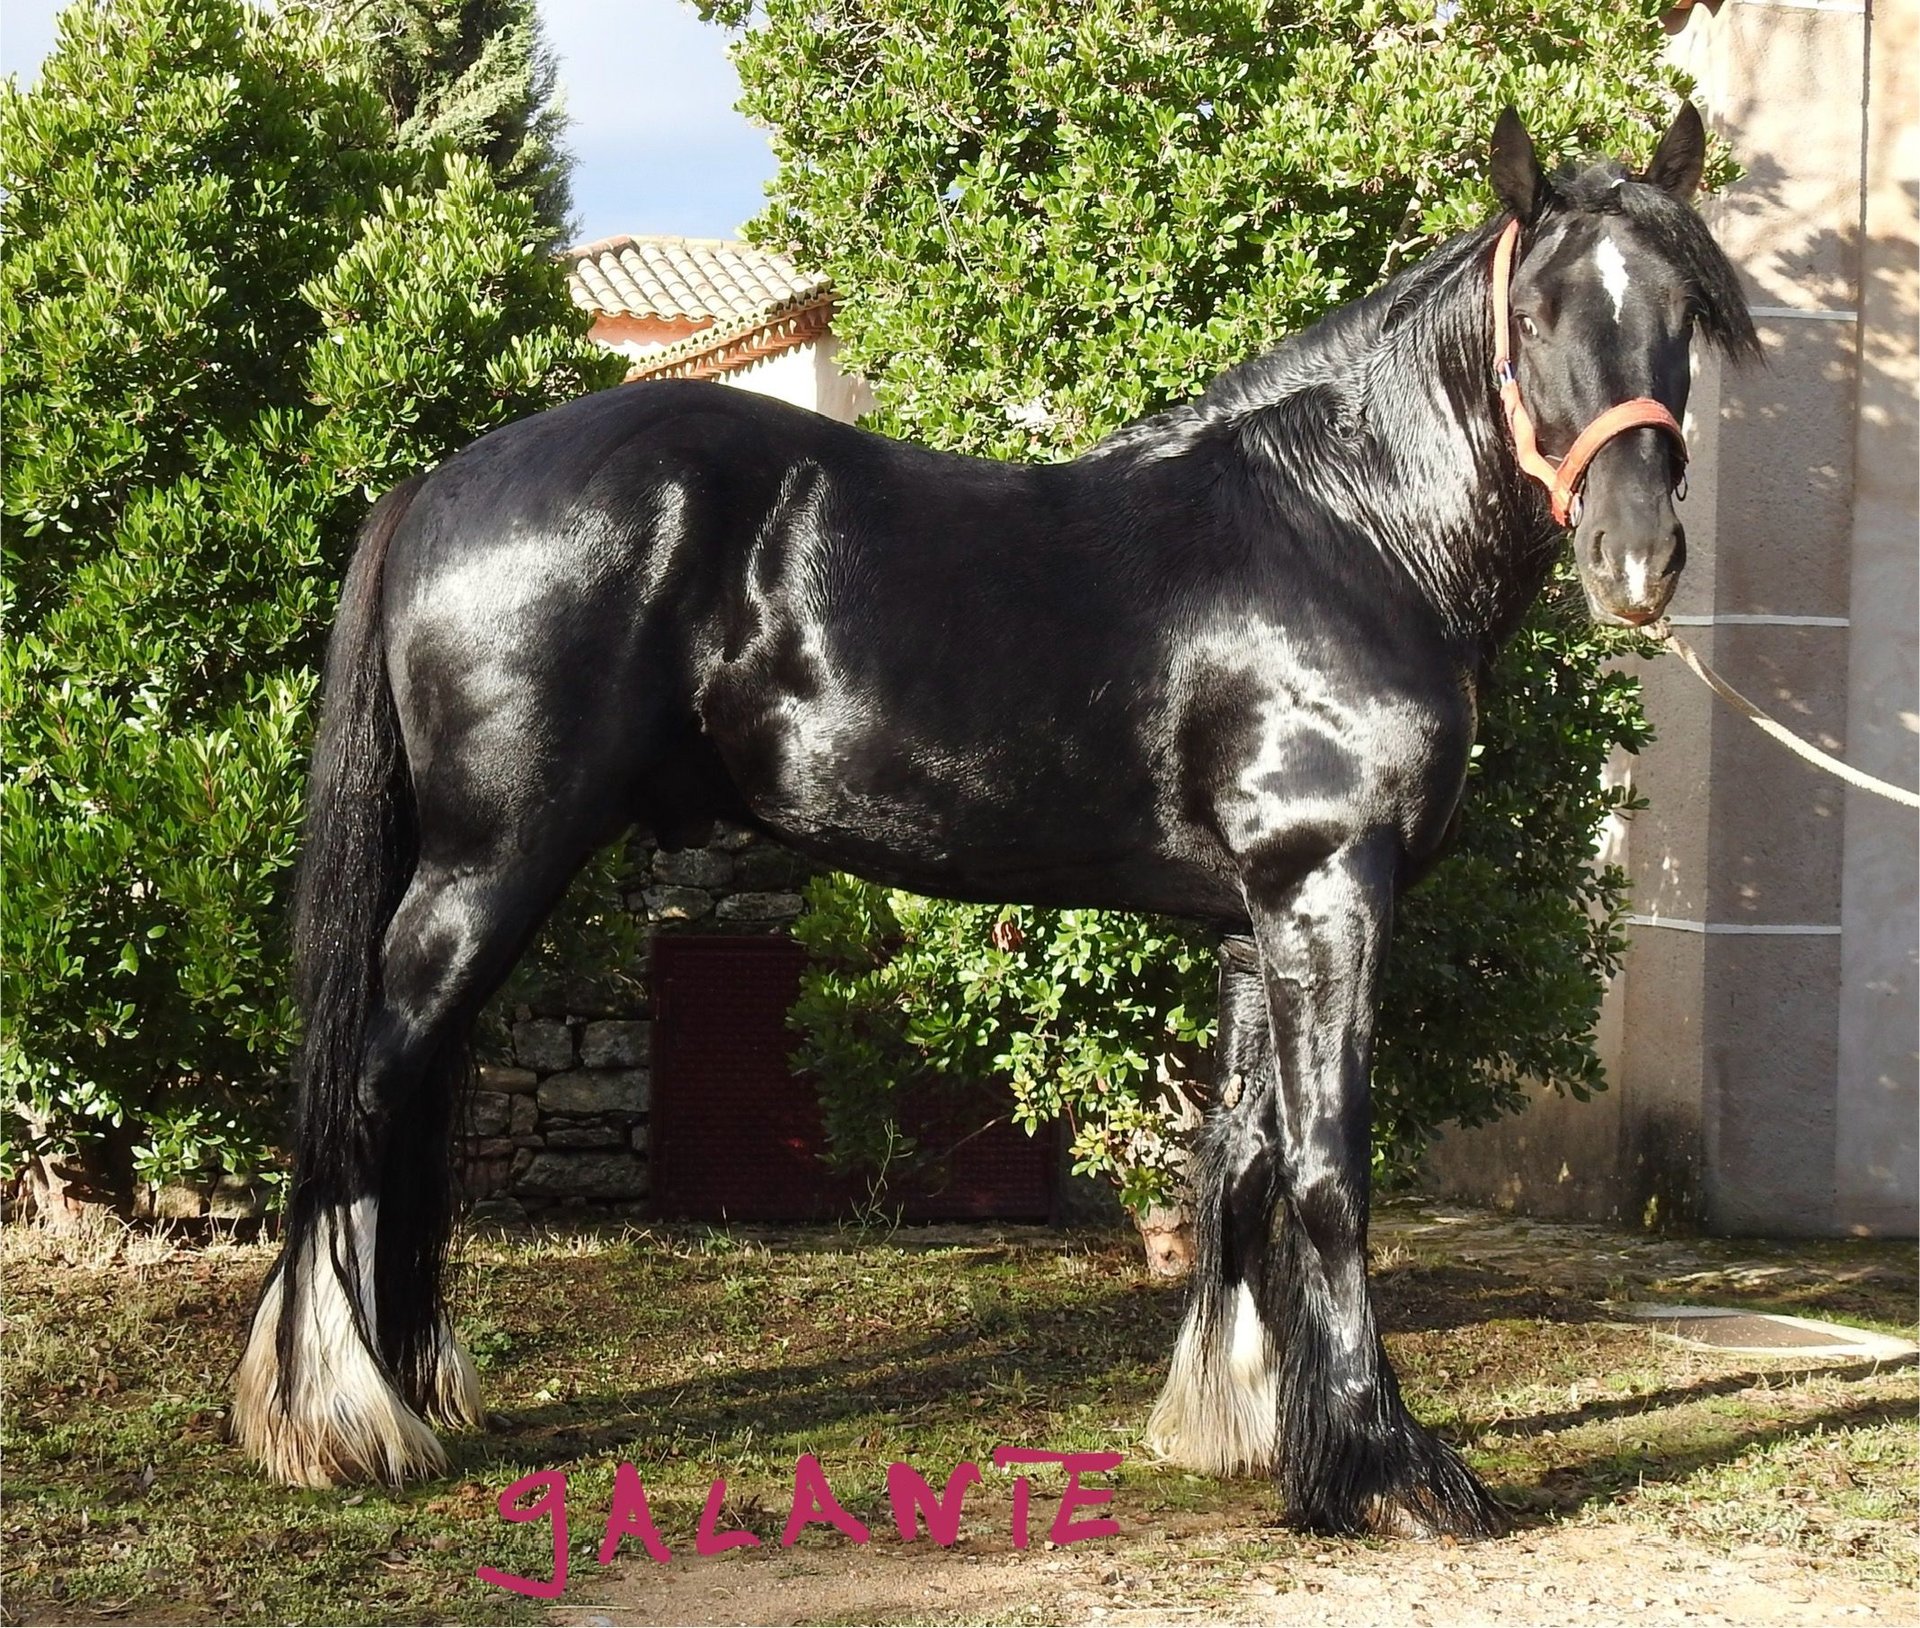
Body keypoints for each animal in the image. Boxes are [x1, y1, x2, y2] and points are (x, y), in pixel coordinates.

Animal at [232, 103, 1757, 1537]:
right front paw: (1390, 1472)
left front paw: (1244, 1430)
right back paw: (335, 1417)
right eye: (1542, 315)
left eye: (1682, 314)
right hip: (491, 862)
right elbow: (1330, 1174)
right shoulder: (1329, 889)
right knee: (362, 1090)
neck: (1340, 529)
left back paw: (395, 1386)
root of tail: (439, 482)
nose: (1638, 560)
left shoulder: (1258, 917)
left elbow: (1243, 1163)